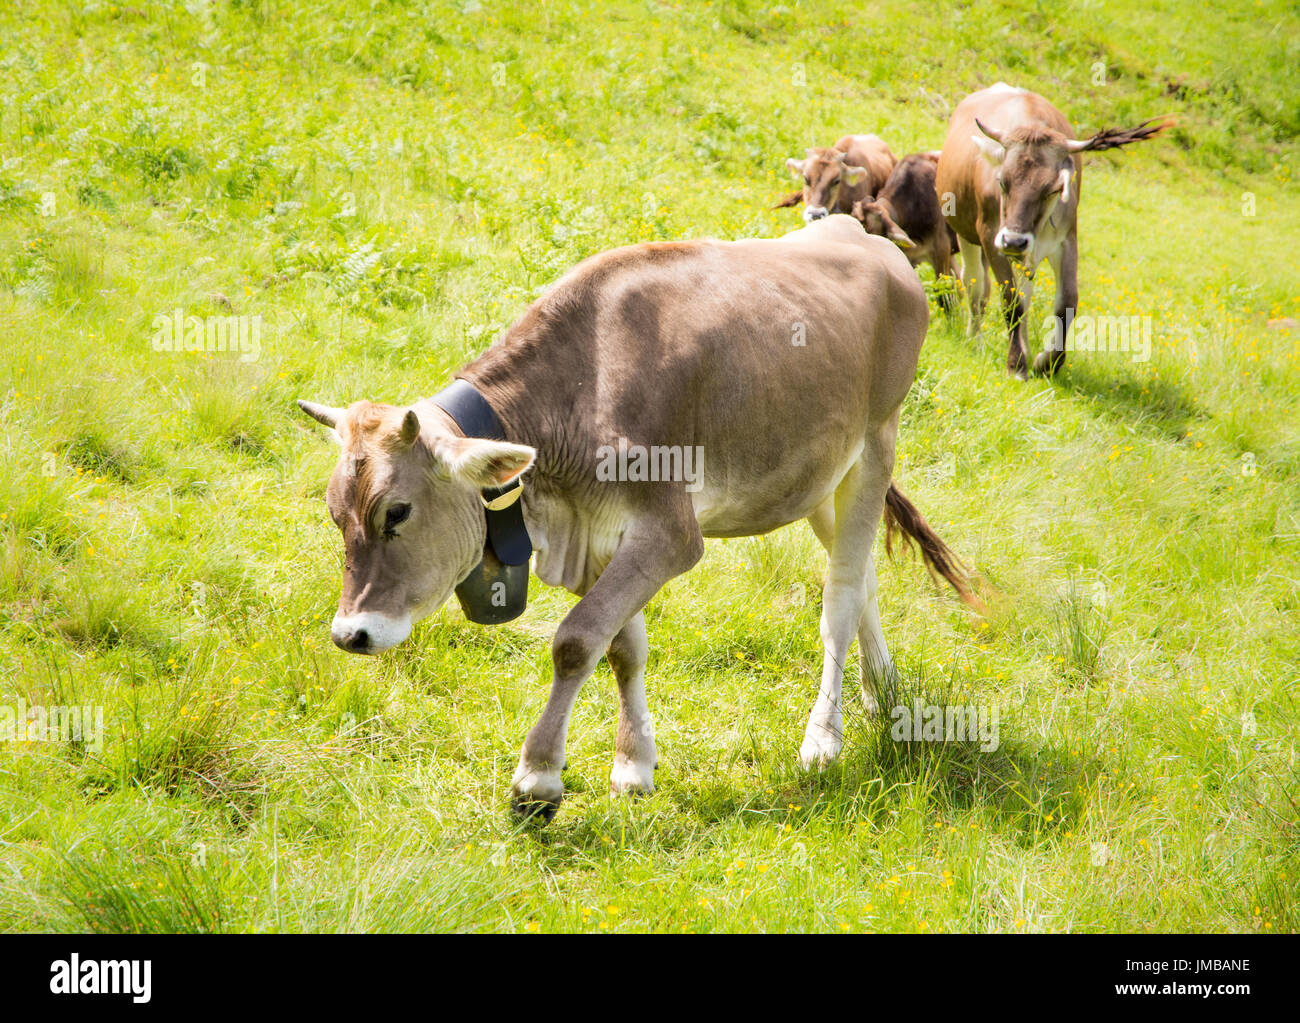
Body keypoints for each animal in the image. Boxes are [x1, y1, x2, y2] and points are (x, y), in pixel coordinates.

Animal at [297, 215, 978, 821]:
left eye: (397, 511)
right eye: (335, 513)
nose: (350, 634)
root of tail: (871, 240)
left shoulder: (670, 534)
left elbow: (576, 639)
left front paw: (538, 780)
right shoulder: (598, 538)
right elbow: (622, 647)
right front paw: (634, 765)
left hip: (876, 444)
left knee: (839, 595)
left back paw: (824, 738)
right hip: (815, 479)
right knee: (861, 576)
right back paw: (883, 692)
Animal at [935, 83, 1170, 378]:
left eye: (1052, 190)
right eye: (1002, 181)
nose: (1014, 241)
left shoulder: (1066, 241)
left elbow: (1066, 302)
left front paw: (1047, 362)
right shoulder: (991, 238)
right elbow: (1010, 300)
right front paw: (1016, 364)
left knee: (1024, 292)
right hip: (967, 234)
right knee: (975, 282)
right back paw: (975, 339)